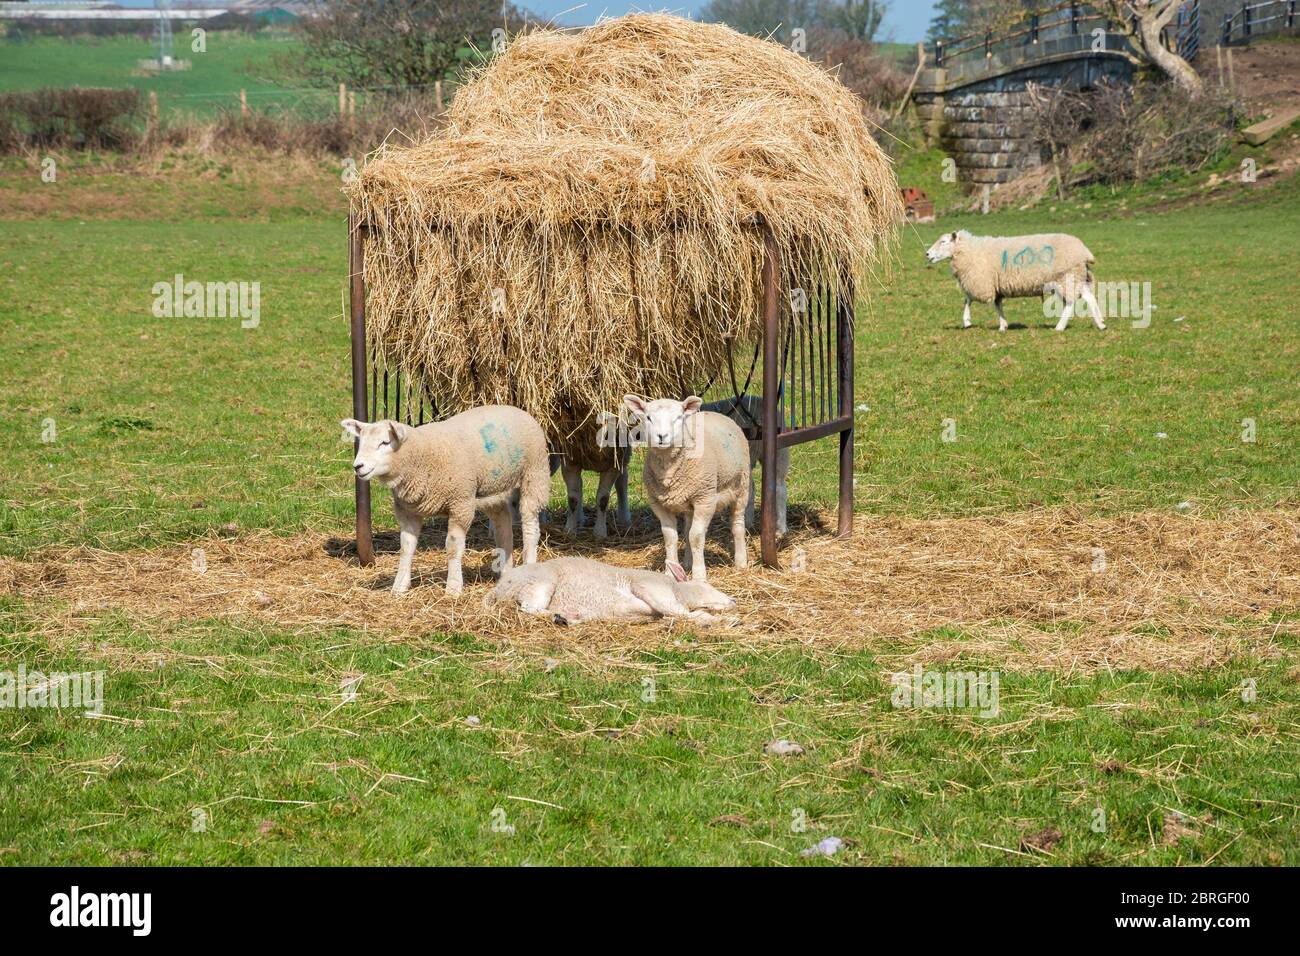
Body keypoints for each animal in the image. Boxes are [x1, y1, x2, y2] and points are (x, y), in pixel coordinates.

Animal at [341, 405, 551, 597]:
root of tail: (518, 409)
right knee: (503, 522)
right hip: (493, 489)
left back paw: (529, 565)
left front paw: (453, 588)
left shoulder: (461, 502)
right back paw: (506, 570)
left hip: (534, 473)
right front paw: (399, 587)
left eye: (384, 442)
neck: (421, 455)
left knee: (530, 526)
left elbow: (453, 547)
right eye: (361, 442)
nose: (358, 466)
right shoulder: (407, 511)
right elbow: (406, 548)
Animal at [488, 556, 736, 625]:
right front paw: (726, 620)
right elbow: (685, 613)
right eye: (707, 585)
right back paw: (559, 615)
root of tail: (499, 587)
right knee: (530, 608)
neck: (678, 591)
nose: (733, 600)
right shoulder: (651, 587)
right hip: (540, 583)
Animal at [623, 393, 750, 580]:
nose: (662, 436)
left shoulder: (705, 500)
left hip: (741, 487)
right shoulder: (658, 503)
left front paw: (699, 576)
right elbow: (671, 537)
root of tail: (715, 413)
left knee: (737, 525)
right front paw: (670, 572)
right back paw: (688, 562)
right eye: (648, 417)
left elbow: (696, 537)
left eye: (678, 417)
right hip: (690, 501)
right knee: (688, 529)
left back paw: (741, 562)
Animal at [925, 230, 1104, 332]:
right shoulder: (995, 286)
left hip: (1066, 277)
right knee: (1089, 297)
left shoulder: (981, 281)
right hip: (1078, 276)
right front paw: (1003, 326)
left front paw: (967, 321)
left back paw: (1060, 327)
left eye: (943, 241)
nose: (927, 254)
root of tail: (1084, 251)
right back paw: (1101, 323)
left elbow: (967, 299)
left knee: (1071, 303)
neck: (969, 251)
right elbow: (997, 305)